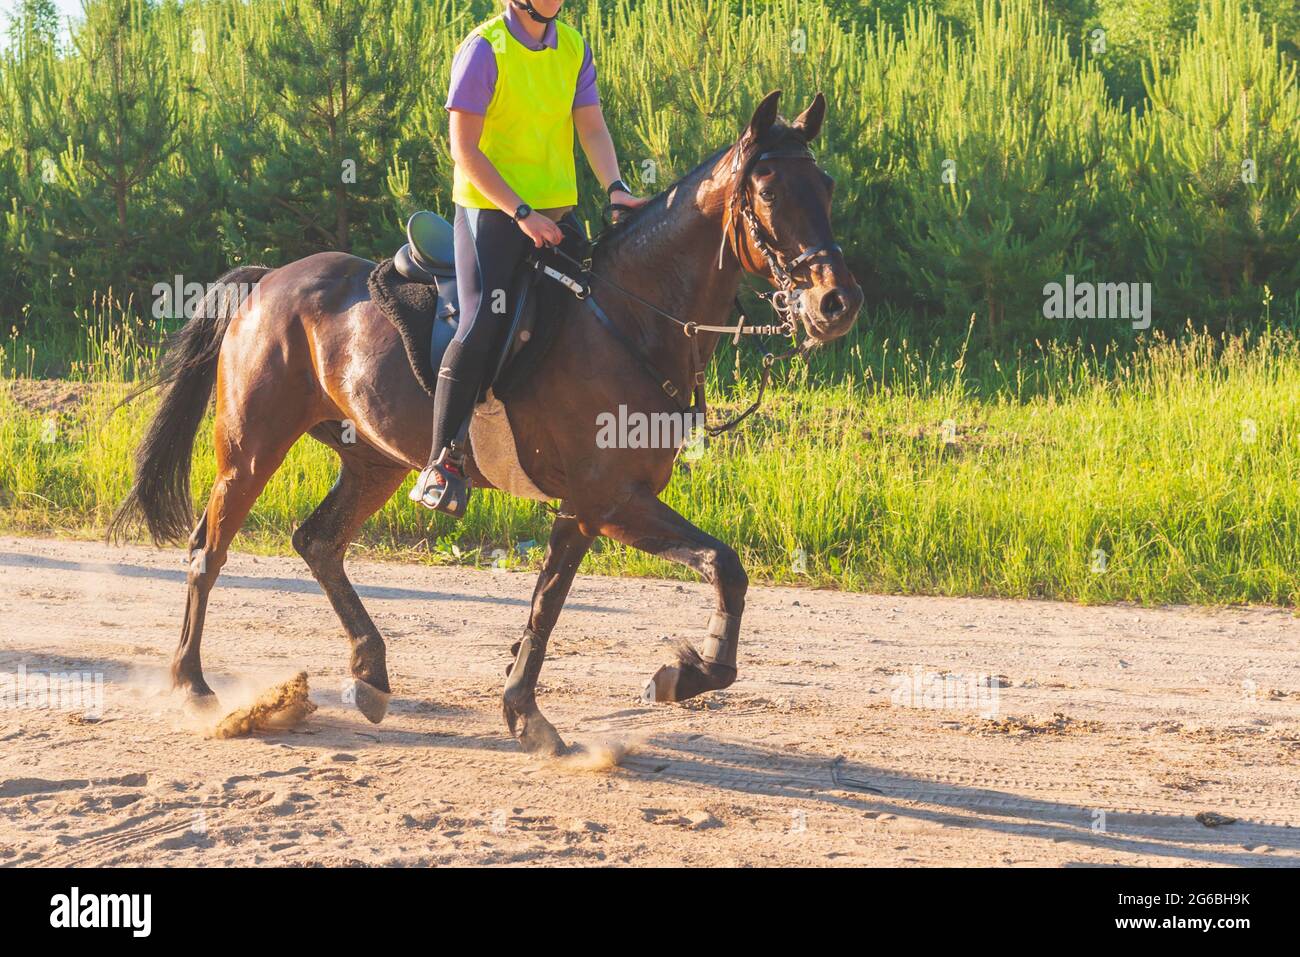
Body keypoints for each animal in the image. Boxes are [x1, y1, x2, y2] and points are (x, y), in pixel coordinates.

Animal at [110, 90, 862, 755]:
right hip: (251, 449)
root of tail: (268, 281)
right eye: (769, 192)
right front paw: (578, 702)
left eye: (825, 185)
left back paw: (370, 672)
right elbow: (590, 594)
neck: (628, 317)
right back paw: (195, 685)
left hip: (375, 460)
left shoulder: (601, 505)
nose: (837, 302)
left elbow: (650, 582)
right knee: (208, 550)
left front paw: (657, 680)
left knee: (318, 542)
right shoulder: (606, 499)